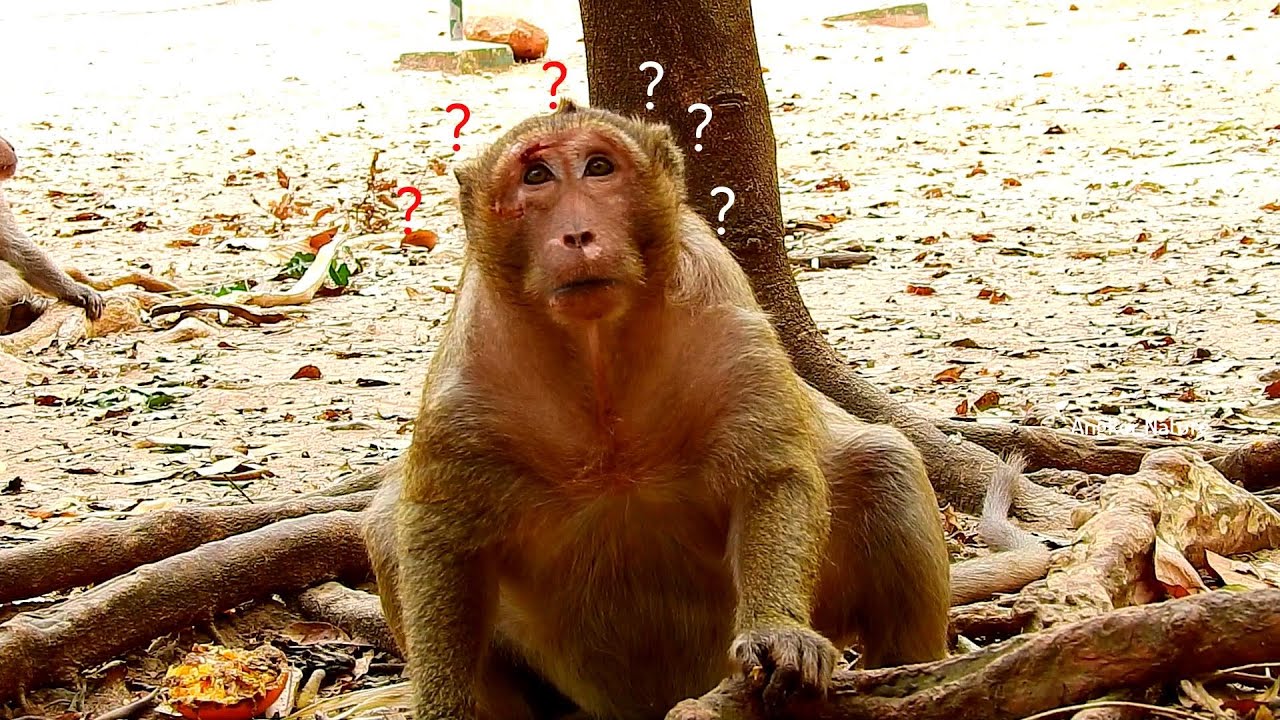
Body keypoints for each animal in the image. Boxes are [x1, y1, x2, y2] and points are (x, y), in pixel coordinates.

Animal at [363, 100, 1051, 720]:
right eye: (536, 177)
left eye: (598, 167)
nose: (578, 234)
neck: (597, 356)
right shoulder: (471, 372)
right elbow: (436, 535)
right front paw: (442, 705)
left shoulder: (724, 320)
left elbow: (771, 477)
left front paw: (778, 633)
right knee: (385, 525)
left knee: (885, 463)